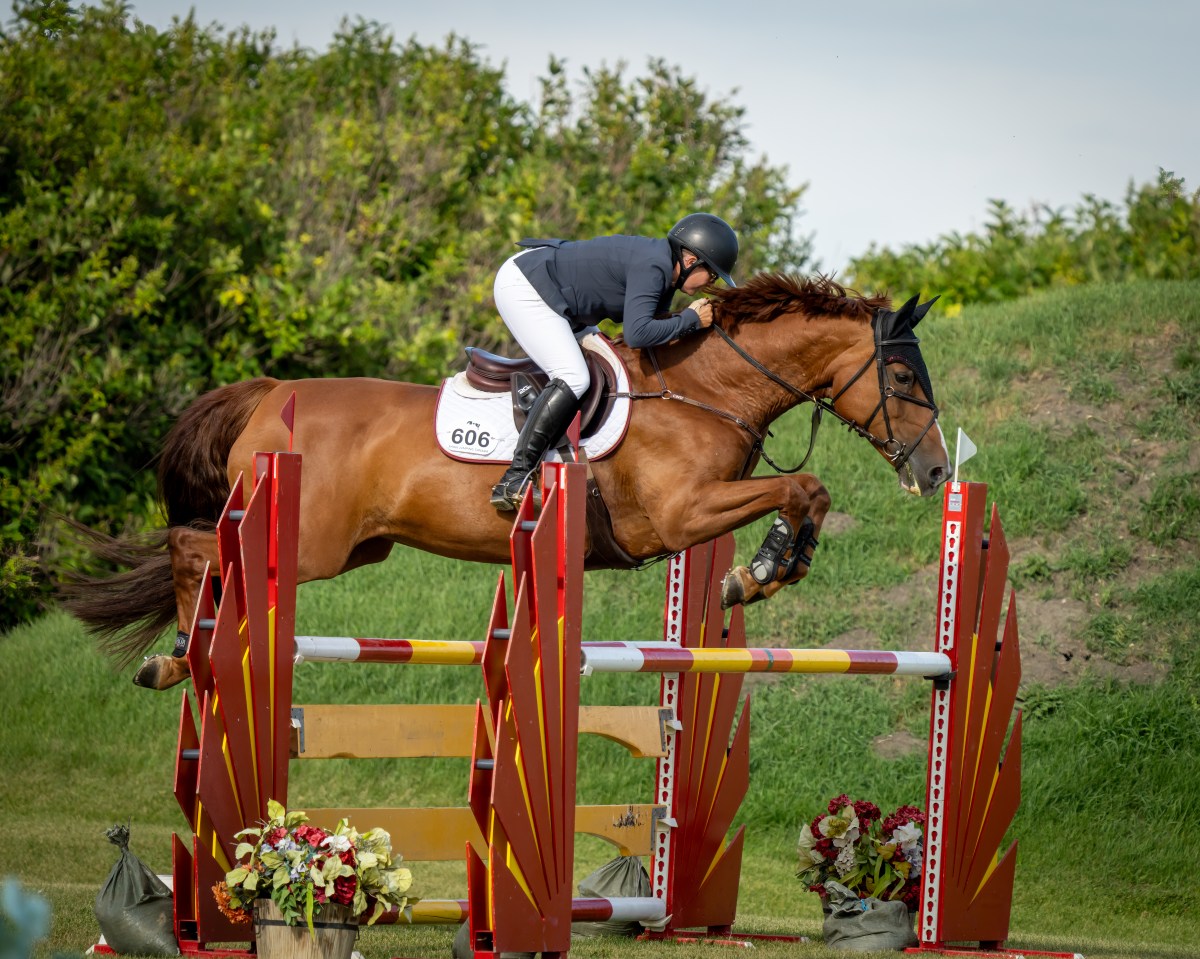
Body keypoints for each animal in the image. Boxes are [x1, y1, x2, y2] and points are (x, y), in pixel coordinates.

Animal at [64, 274, 950, 691]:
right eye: (904, 374)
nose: (939, 469)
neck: (703, 388)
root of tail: (271, 390)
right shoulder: (678, 515)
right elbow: (802, 487)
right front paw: (757, 570)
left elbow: (810, 493)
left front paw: (772, 567)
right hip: (307, 537)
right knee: (193, 546)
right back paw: (181, 654)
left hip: (357, 546)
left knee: (203, 550)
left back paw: (183, 654)